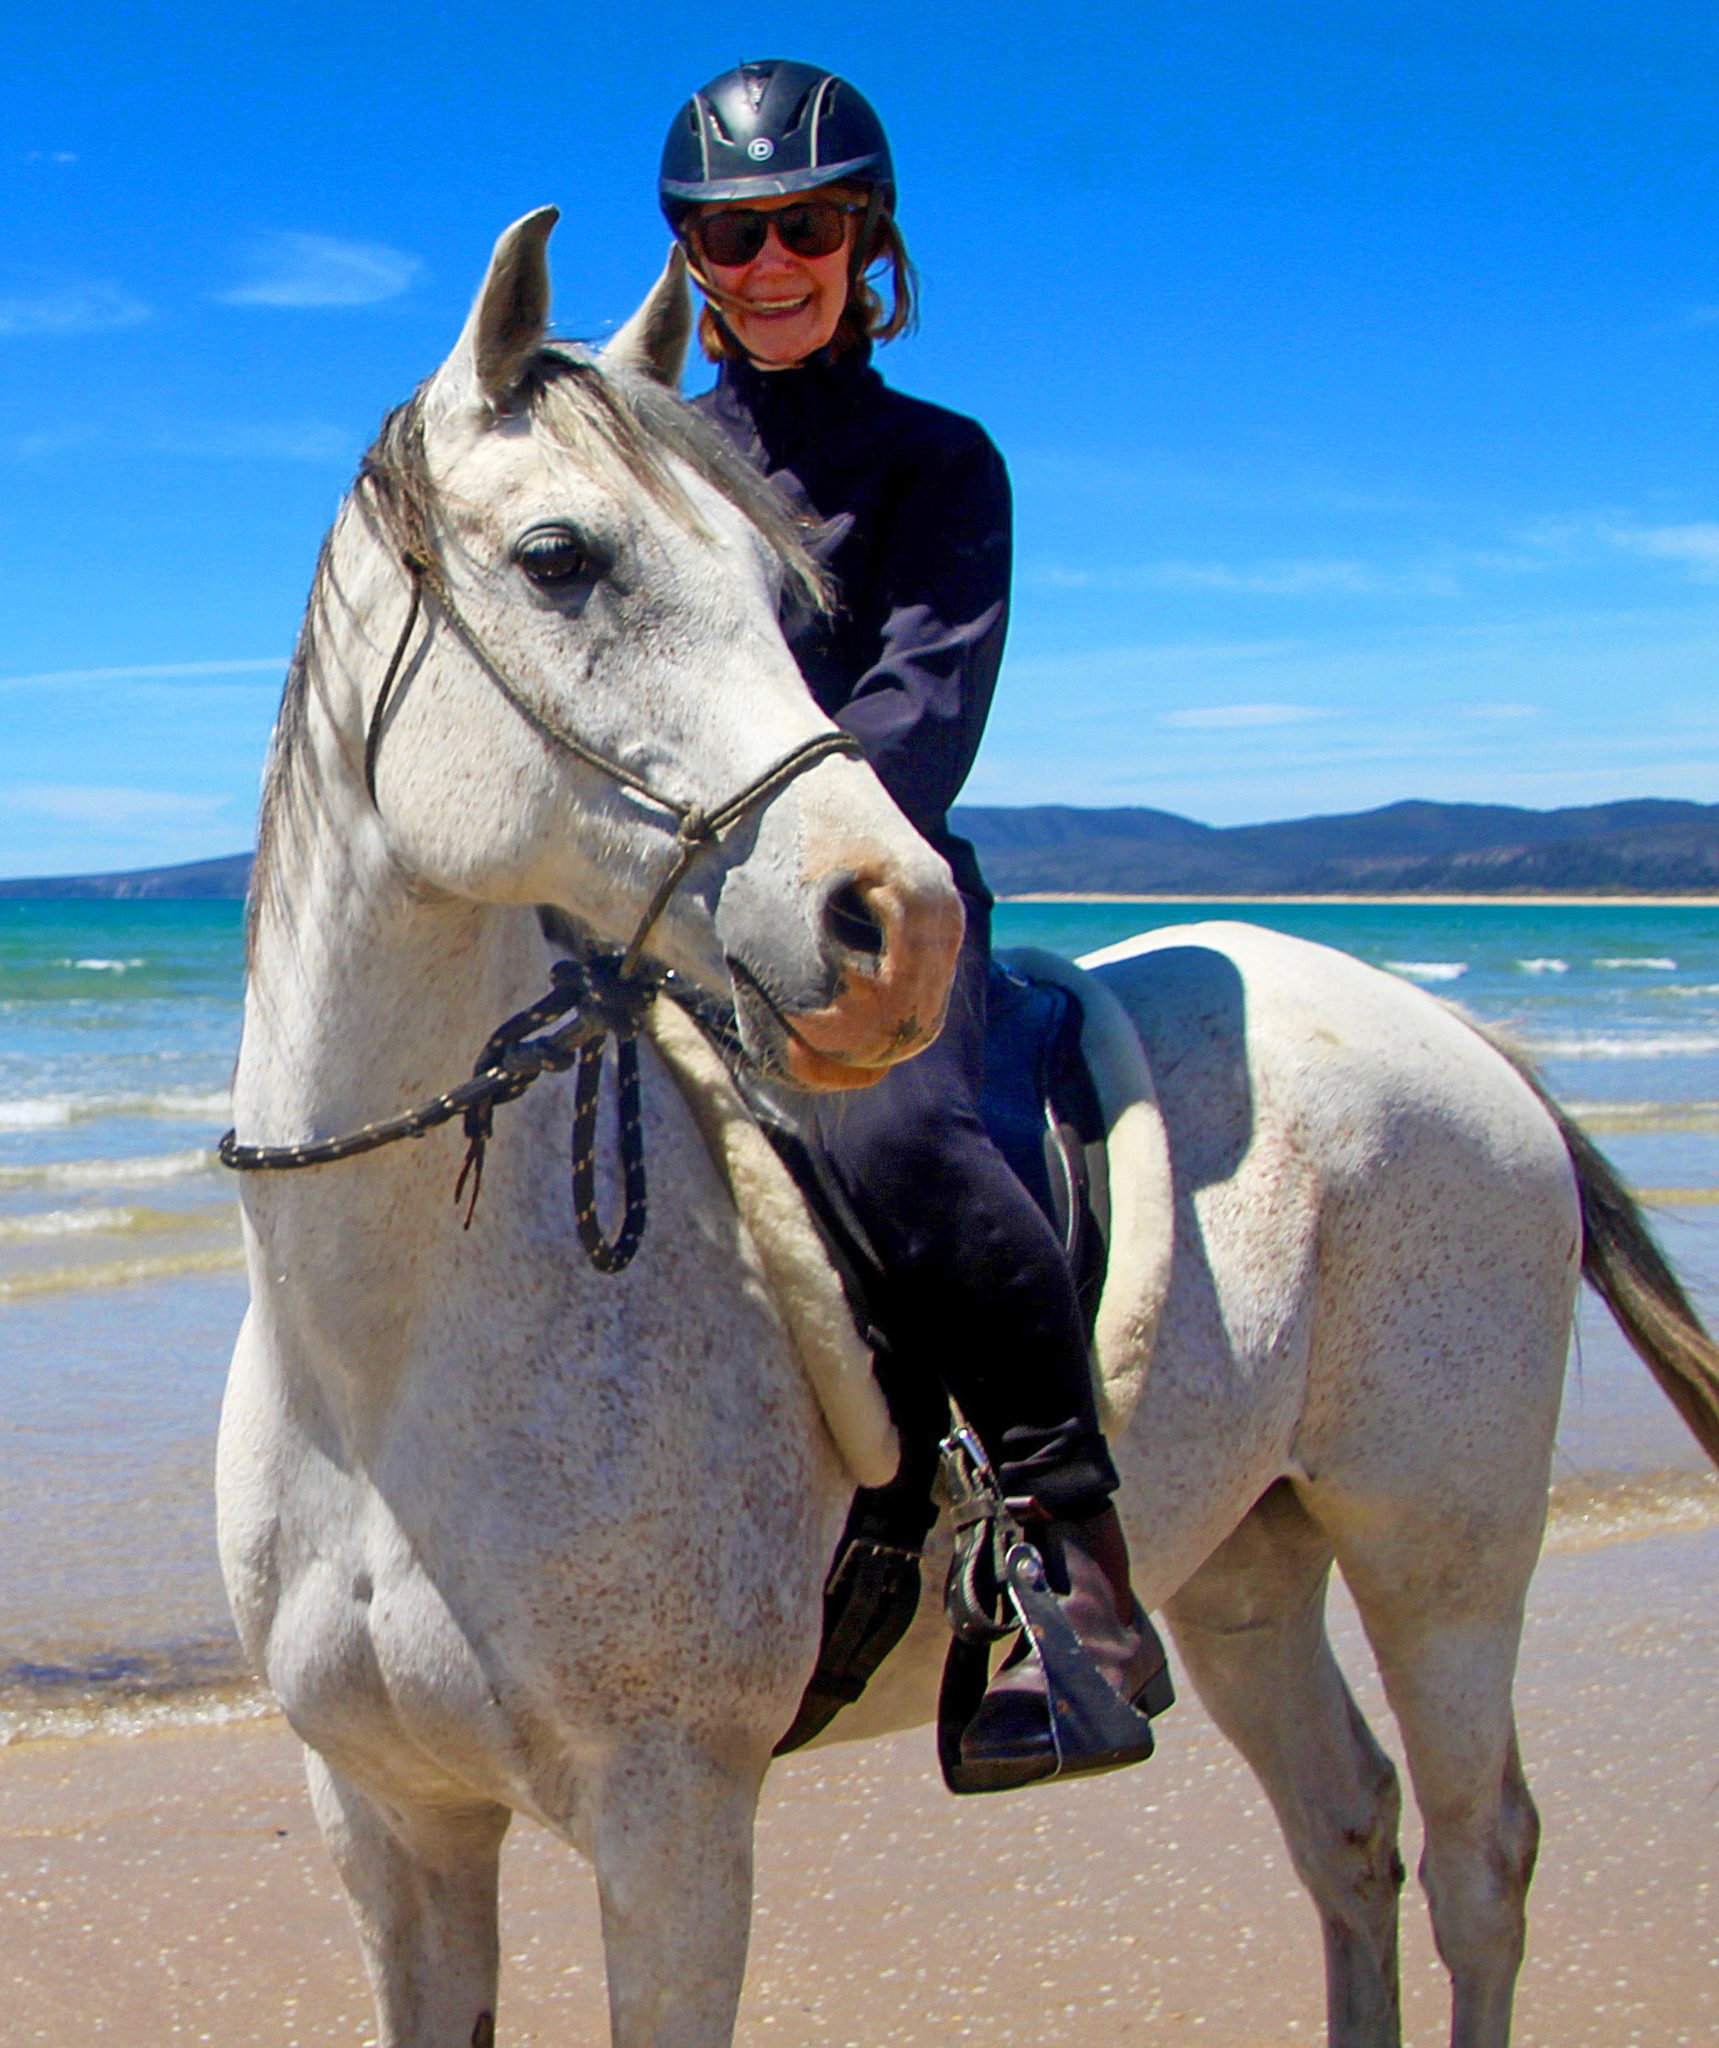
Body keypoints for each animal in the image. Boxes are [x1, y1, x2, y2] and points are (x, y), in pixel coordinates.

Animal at [218, 210, 1719, 2048]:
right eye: (561, 557)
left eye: (781, 591)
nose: (897, 928)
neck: (386, 1354)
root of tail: (1463, 1040)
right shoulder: (392, 1820)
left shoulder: (670, 1821)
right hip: (1245, 1561)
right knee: (1348, 1827)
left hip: (1437, 1553)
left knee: (1479, 1851)